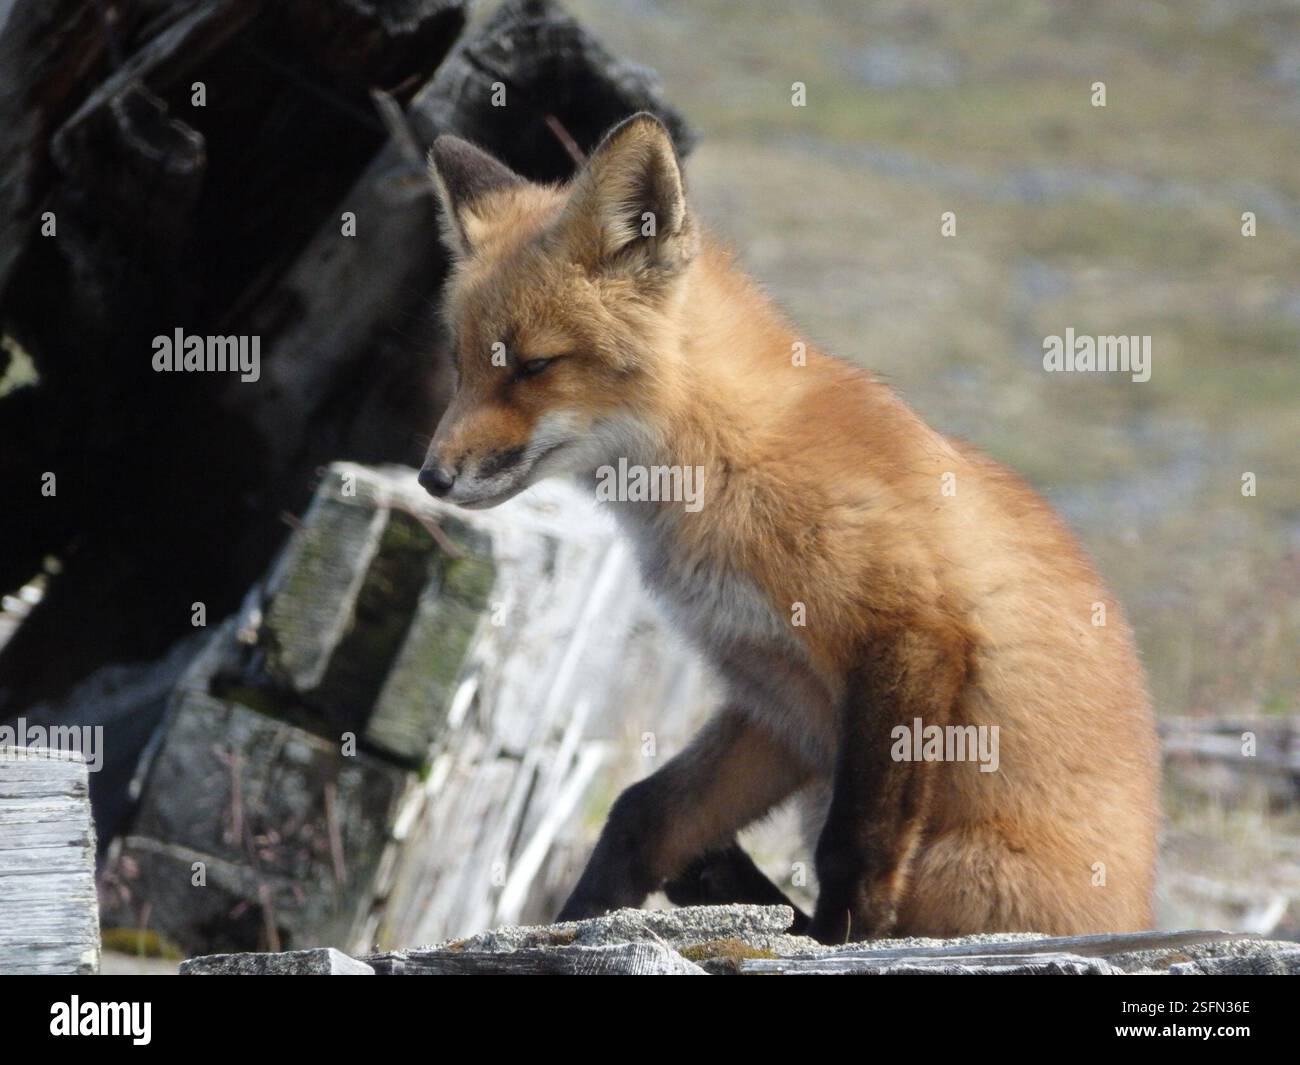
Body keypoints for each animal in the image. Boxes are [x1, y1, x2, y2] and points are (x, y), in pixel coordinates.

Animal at [417, 113, 1159, 943]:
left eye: (533, 365)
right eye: (461, 363)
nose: (431, 478)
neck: (727, 460)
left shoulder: (908, 635)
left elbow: (853, 848)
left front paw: (837, 941)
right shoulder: (782, 701)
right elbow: (643, 813)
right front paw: (580, 920)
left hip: (960, 867)